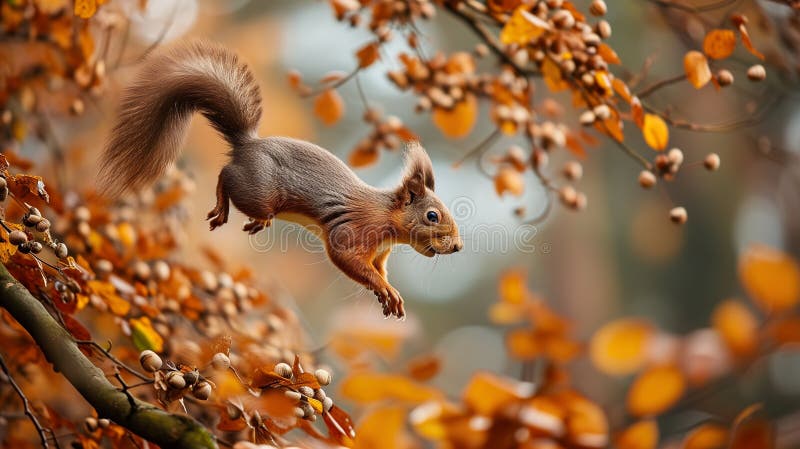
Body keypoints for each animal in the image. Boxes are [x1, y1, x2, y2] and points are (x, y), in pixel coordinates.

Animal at [98, 41, 463, 319]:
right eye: (432, 216)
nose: (458, 247)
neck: (387, 217)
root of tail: (247, 144)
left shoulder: (380, 254)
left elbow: (376, 270)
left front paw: (387, 295)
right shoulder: (356, 229)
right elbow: (345, 257)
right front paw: (387, 288)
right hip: (258, 191)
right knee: (226, 176)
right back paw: (225, 208)